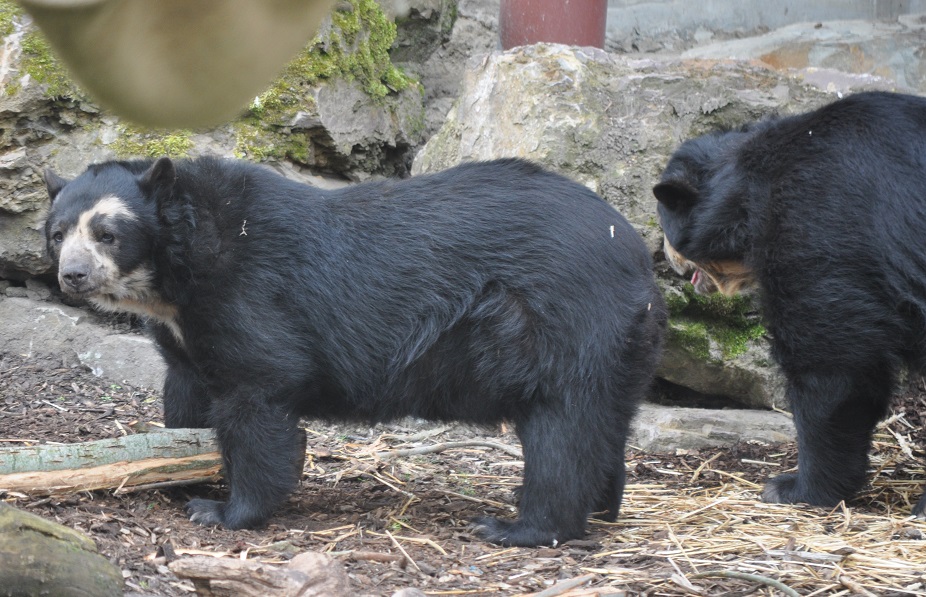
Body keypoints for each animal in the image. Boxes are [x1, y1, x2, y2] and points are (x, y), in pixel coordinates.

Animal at [44, 156, 667, 547]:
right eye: (57, 233)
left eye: (107, 233)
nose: (72, 276)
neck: (176, 283)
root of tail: (638, 254)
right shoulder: (185, 336)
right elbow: (186, 394)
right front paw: (182, 476)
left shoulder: (249, 296)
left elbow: (260, 390)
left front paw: (223, 510)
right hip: (616, 344)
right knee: (603, 423)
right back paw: (602, 509)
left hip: (559, 323)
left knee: (563, 430)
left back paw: (519, 528)